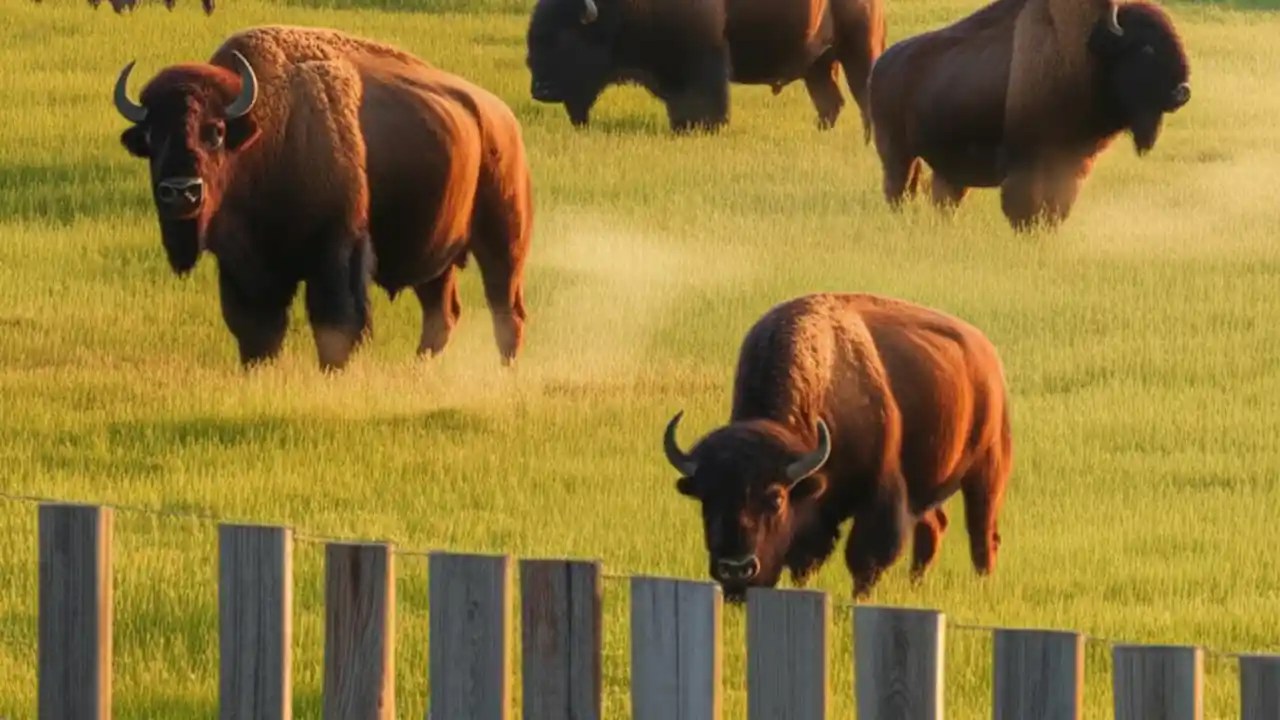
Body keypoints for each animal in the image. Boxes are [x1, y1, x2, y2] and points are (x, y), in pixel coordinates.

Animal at [113, 25, 532, 371]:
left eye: (214, 131)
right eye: (151, 136)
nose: (180, 192)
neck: (267, 133)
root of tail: (501, 118)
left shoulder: (336, 250)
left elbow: (335, 325)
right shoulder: (242, 265)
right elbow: (255, 329)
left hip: (503, 242)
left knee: (505, 309)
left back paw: (504, 370)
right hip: (438, 256)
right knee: (441, 314)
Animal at [525, 0, 886, 135]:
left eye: (566, 38)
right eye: (533, 39)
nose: (541, 90)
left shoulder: (703, 62)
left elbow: (705, 100)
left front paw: (703, 128)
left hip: (859, 52)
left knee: (864, 99)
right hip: (819, 65)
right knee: (830, 102)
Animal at [663, 293, 1013, 600]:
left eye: (776, 498)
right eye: (706, 498)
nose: (736, 570)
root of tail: (986, 352)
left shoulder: (880, 495)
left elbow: (864, 559)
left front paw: (860, 600)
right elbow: (804, 561)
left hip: (987, 469)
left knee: (982, 535)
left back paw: (982, 586)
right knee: (933, 529)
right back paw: (915, 585)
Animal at [867, 0, 1191, 230]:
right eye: (1146, 48)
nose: (1182, 93)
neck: (1091, 55)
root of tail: (882, 64)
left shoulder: (1073, 163)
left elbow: (1057, 206)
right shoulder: (1028, 163)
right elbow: (1026, 205)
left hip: (942, 165)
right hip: (897, 153)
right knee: (899, 190)